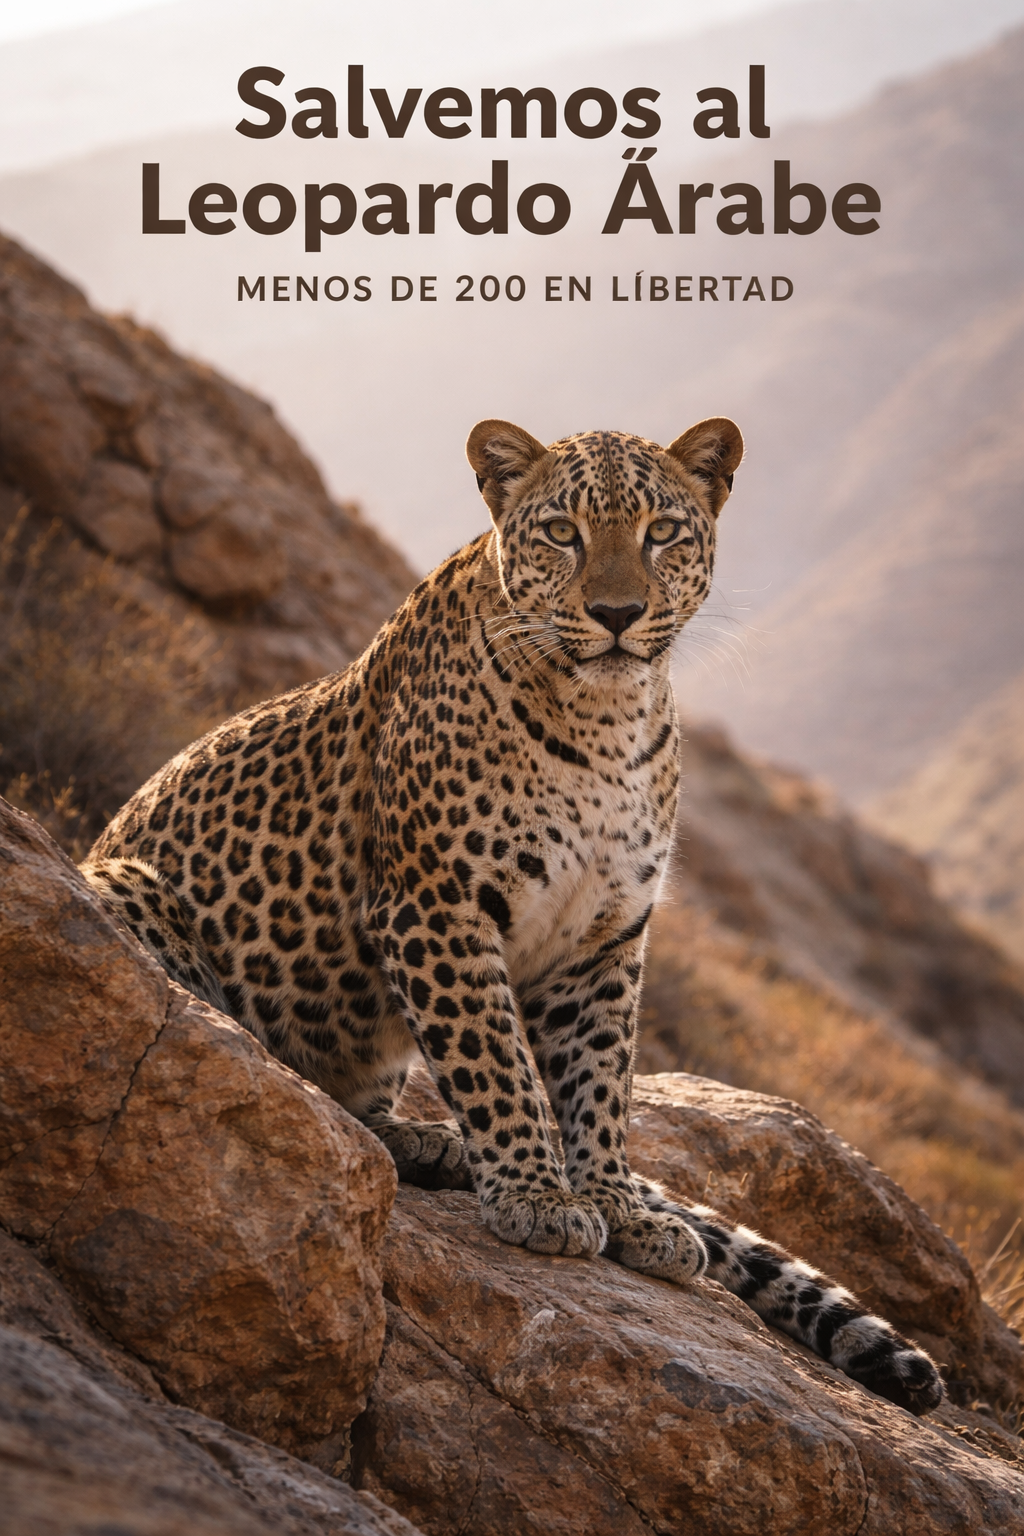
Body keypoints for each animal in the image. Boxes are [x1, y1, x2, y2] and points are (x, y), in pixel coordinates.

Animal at [82, 416, 943, 1415]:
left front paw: (614, 1205)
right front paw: (539, 1196)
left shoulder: (605, 939)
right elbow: (497, 1063)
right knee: (267, 1075)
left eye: (661, 532)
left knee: (355, 1110)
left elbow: (600, 1083)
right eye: (563, 532)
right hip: (127, 884)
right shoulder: (439, 903)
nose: (616, 613)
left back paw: (432, 1145)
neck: (608, 719)